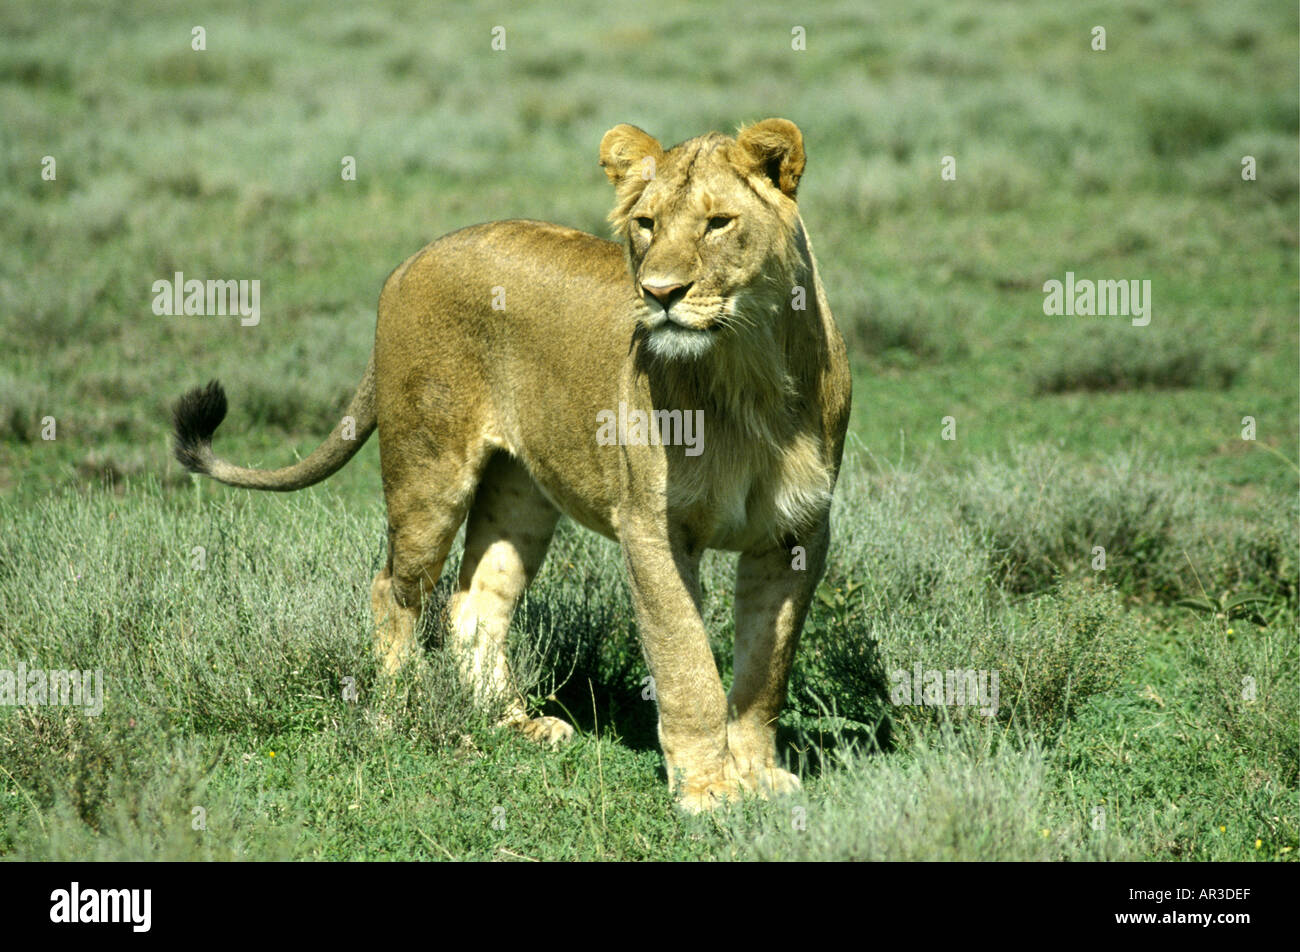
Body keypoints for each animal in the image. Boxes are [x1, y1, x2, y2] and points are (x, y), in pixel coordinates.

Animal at [171, 118, 851, 812]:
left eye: (718, 223)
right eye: (646, 224)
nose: (660, 294)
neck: (748, 371)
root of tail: (408, 261)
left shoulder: (797, 533)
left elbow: (766, 669)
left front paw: (760, 776)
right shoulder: (652, 527)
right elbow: (685, 662)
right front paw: (708, 791)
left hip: (520, 496)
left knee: (474, 602)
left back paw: (509, 722)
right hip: (428, 473)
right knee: (392, 588)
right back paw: (400, 714)